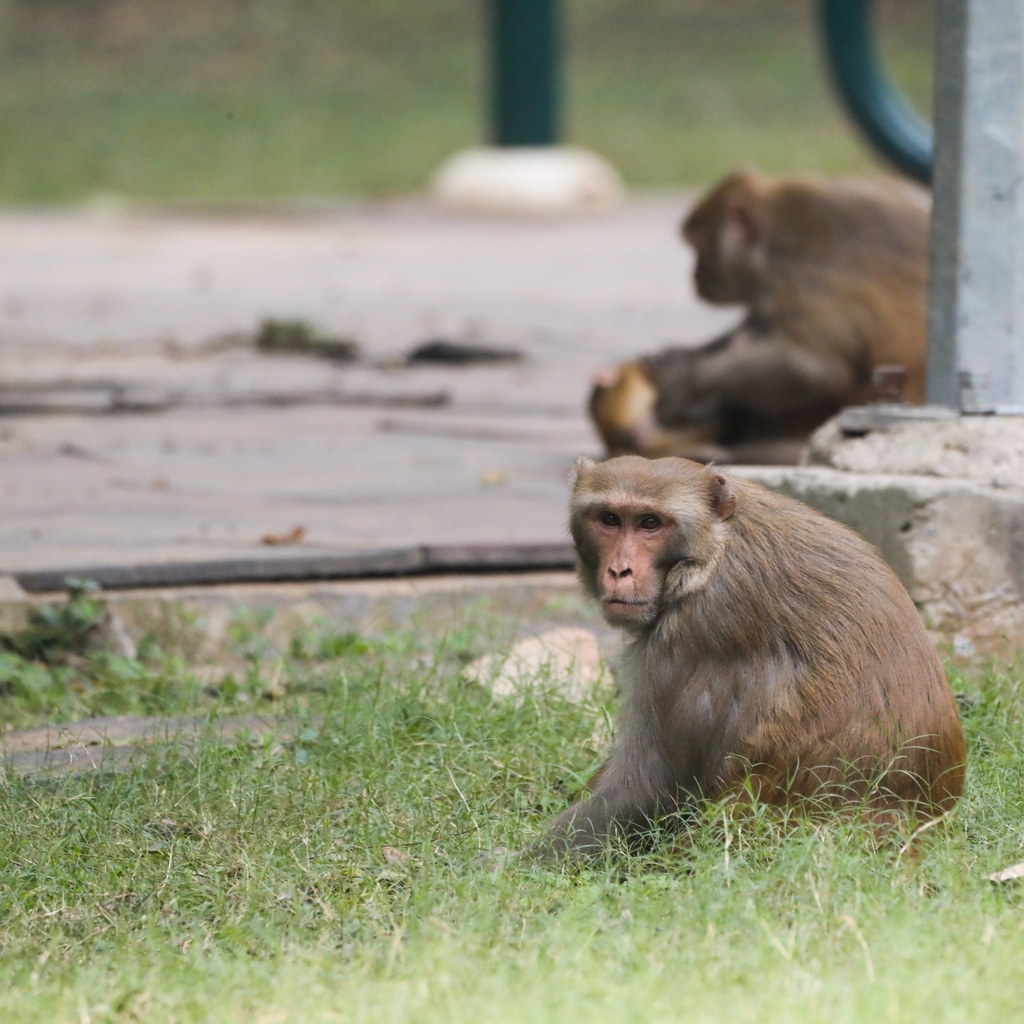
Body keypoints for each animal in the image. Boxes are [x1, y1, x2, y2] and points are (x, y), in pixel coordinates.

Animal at [535, 456, 965, 860]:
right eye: (609, 519)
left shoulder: (692, 630)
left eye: (650, 523)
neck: (710, 551)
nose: (619, 570)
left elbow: (647, 783)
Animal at [589, 170, 930, 464]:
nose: (694, 276)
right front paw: (674, 357)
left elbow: (813, 368)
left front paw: (684, 385)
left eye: (699, 245)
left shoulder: (805, 273)